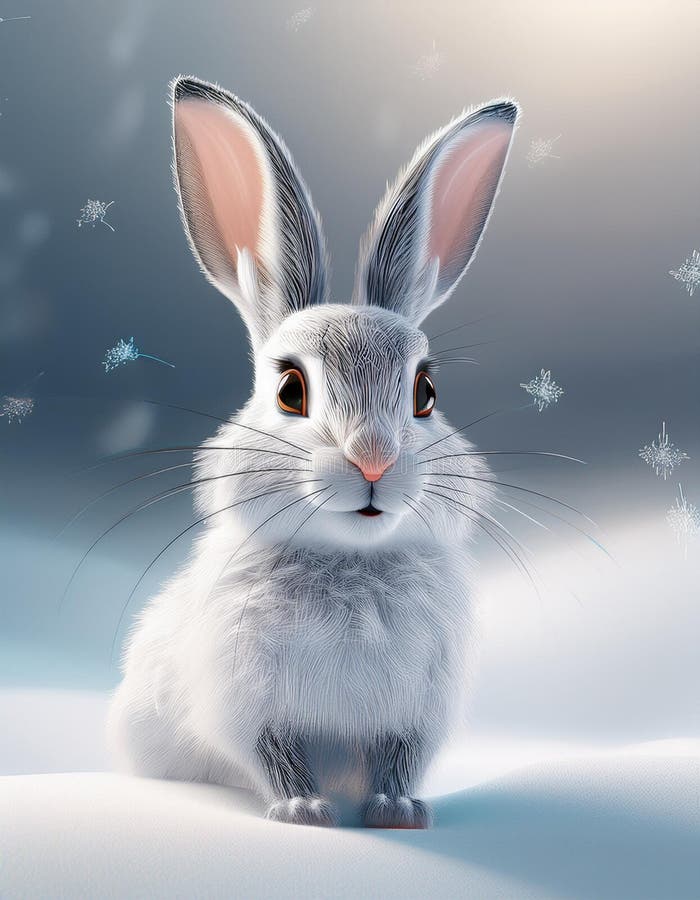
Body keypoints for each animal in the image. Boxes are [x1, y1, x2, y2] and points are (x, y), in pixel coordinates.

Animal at [107, 75, 519, 828]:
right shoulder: (248, 706)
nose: (373, 460)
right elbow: (275, 754)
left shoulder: (415, 713)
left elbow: (399, 759)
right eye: (290, 389)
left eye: (425, 391)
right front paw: (304, 810)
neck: (350, 561)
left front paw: (399, 811)